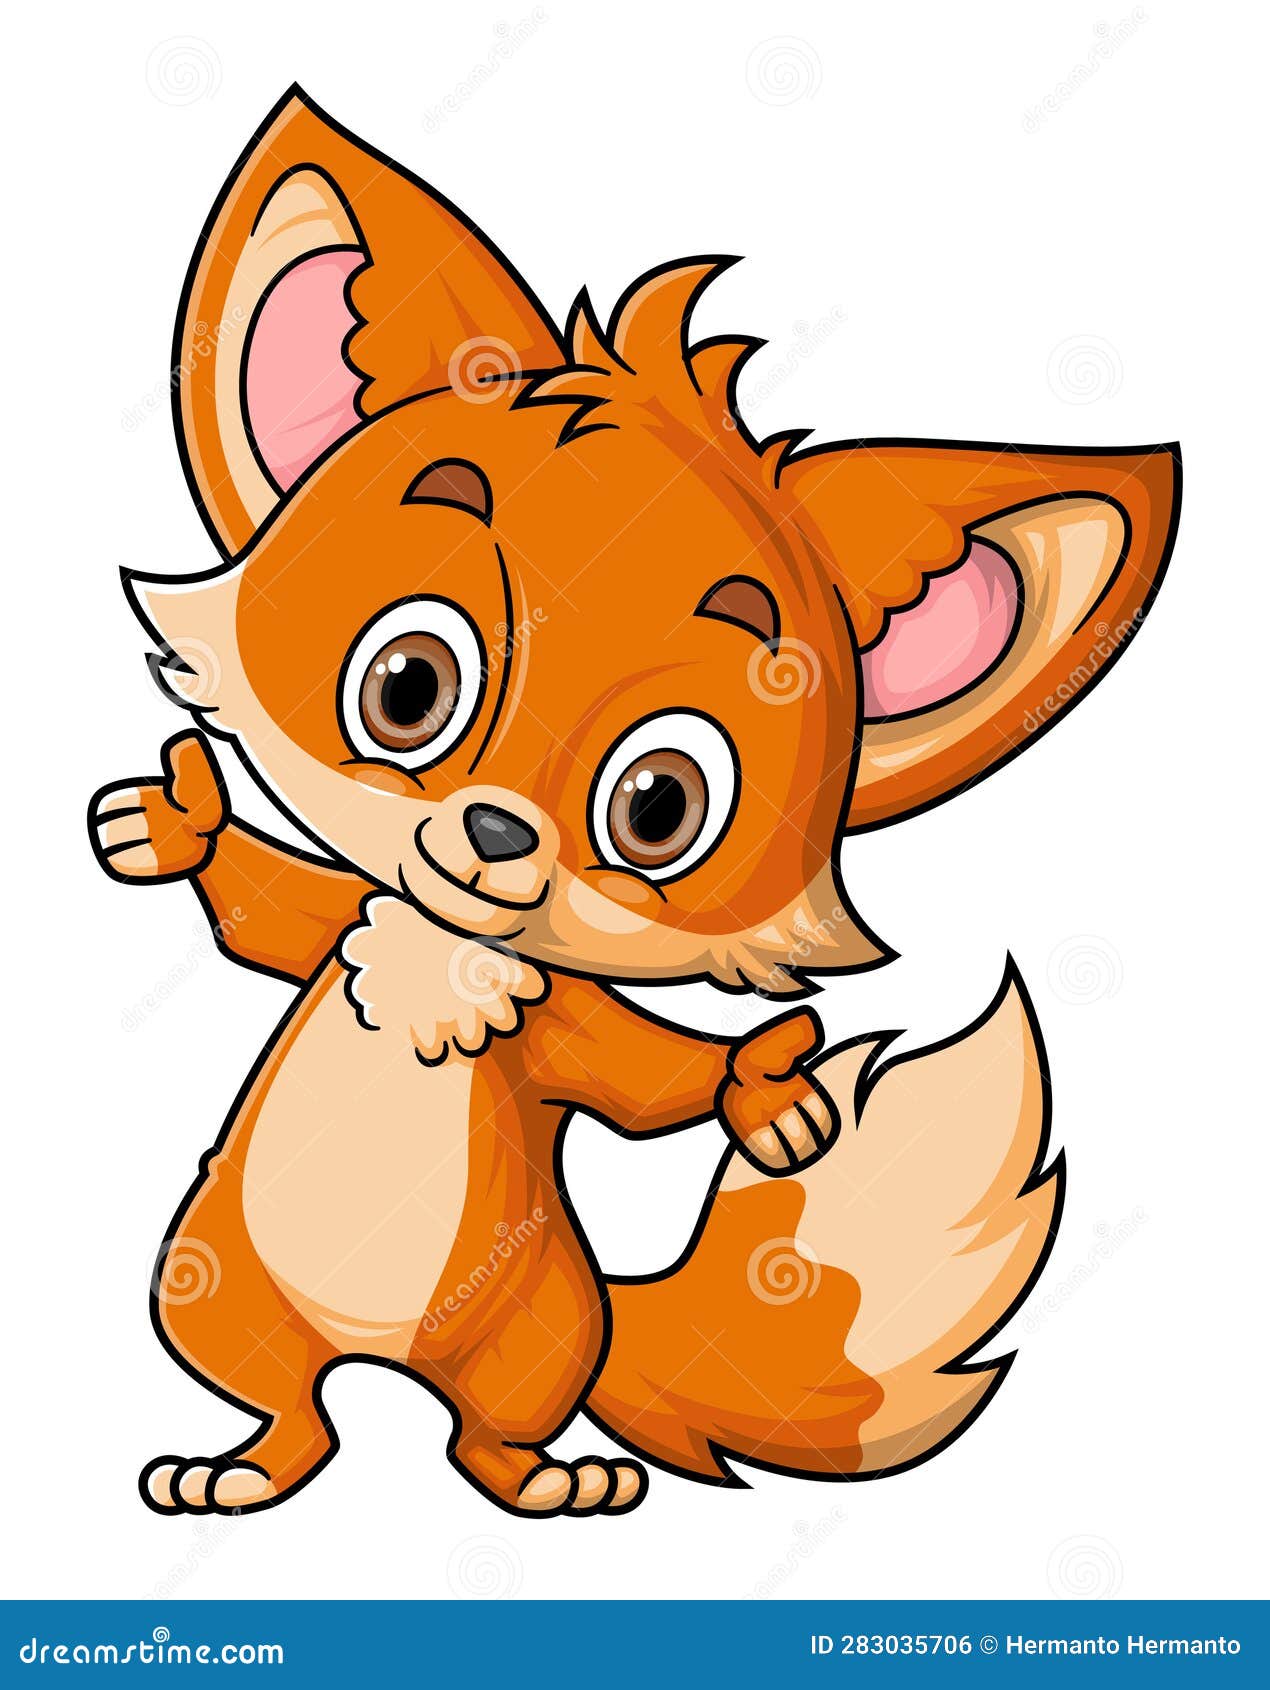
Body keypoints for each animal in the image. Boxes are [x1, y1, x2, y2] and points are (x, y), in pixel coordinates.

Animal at [89, 88, 1179, 1520]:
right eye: (406, 685)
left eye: (658, 806)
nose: (495, 832)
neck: (443, 959)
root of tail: (380, 1363)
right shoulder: (337, 937)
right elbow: (268, 913)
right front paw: (179, 820)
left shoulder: (561, 1035)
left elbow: (655, 1084)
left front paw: (764, 1088)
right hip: (209, 1278)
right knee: (293, 1414)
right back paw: (246, 1464)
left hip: (539, 1327)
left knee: (482, 1433)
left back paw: (544, 1479)